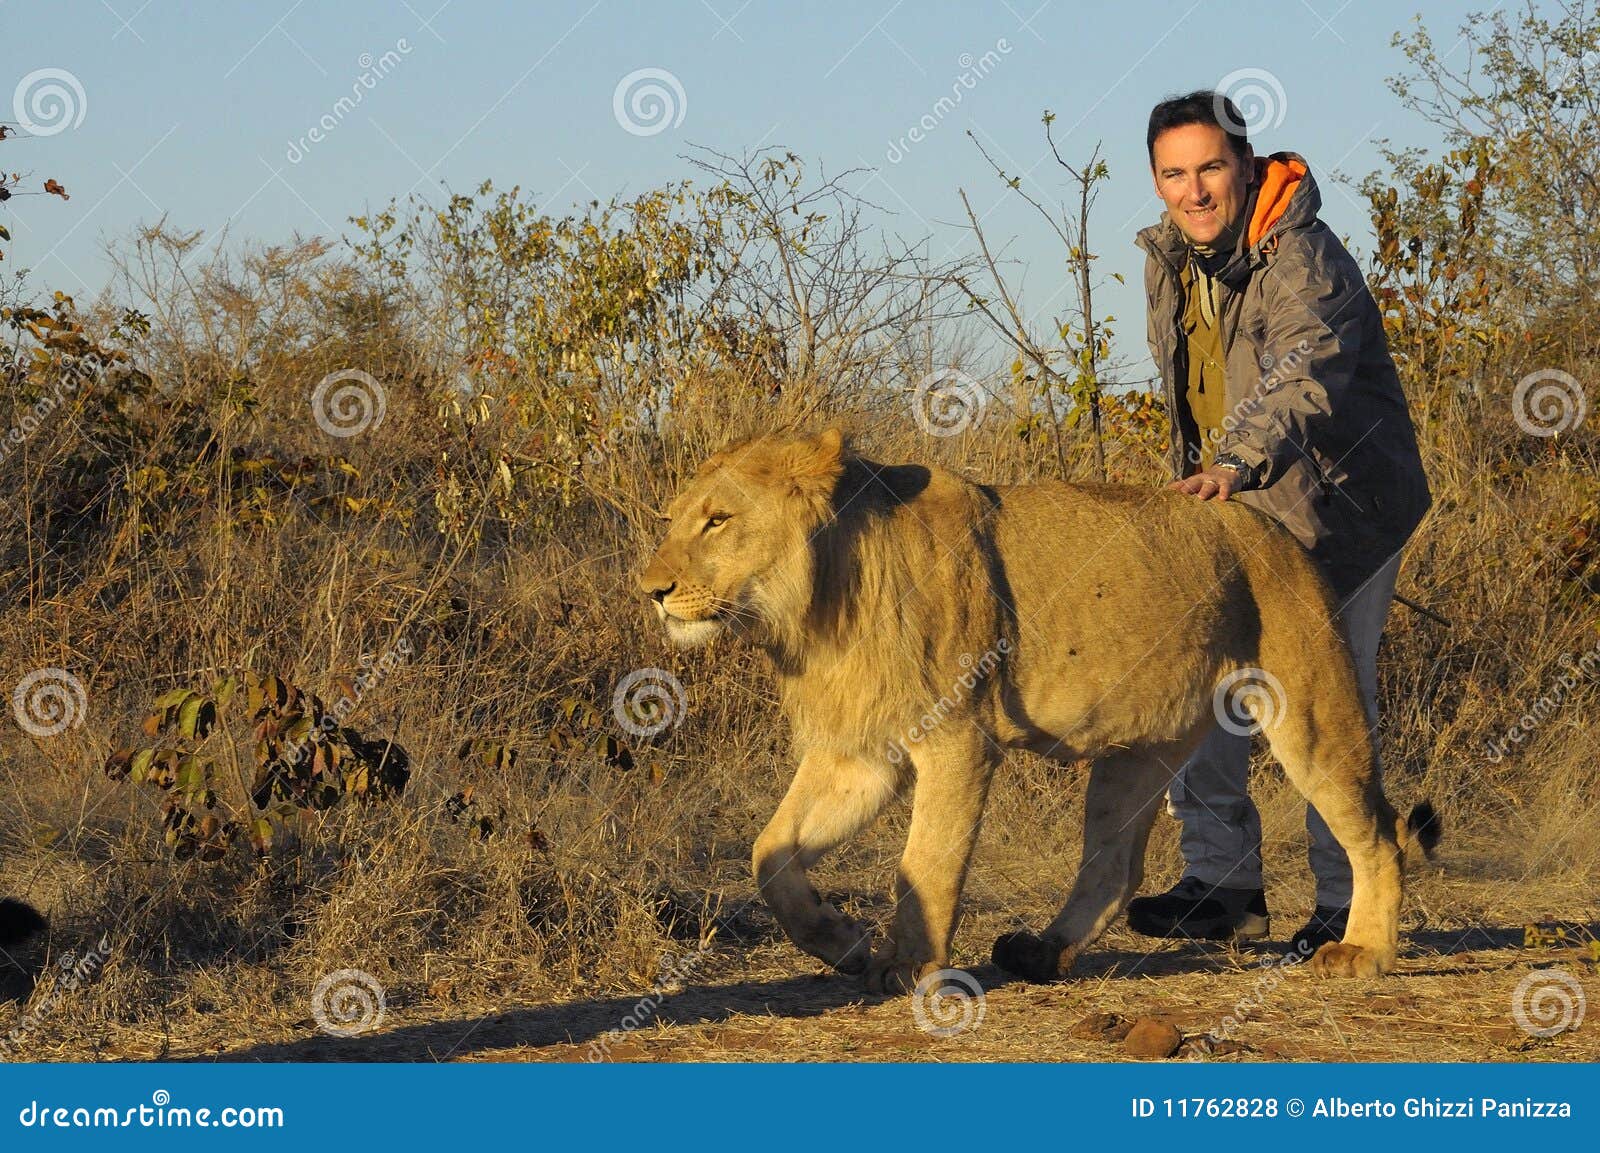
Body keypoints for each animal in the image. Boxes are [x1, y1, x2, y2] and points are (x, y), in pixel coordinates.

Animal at [636, 429, 1438, 992]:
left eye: (718, 521)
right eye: (672, 518)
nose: (651, 589)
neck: (816, 608)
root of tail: (1275, 529)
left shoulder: (957, 737)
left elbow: (927, 861)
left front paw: (911, 967)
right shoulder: (861, 754)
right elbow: (769, 856)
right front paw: (844, 943)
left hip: (1312, 706)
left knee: (1377, 833)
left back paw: (1362, 952)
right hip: (1138, 751)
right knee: (1114, 867)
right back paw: (1041, 952)